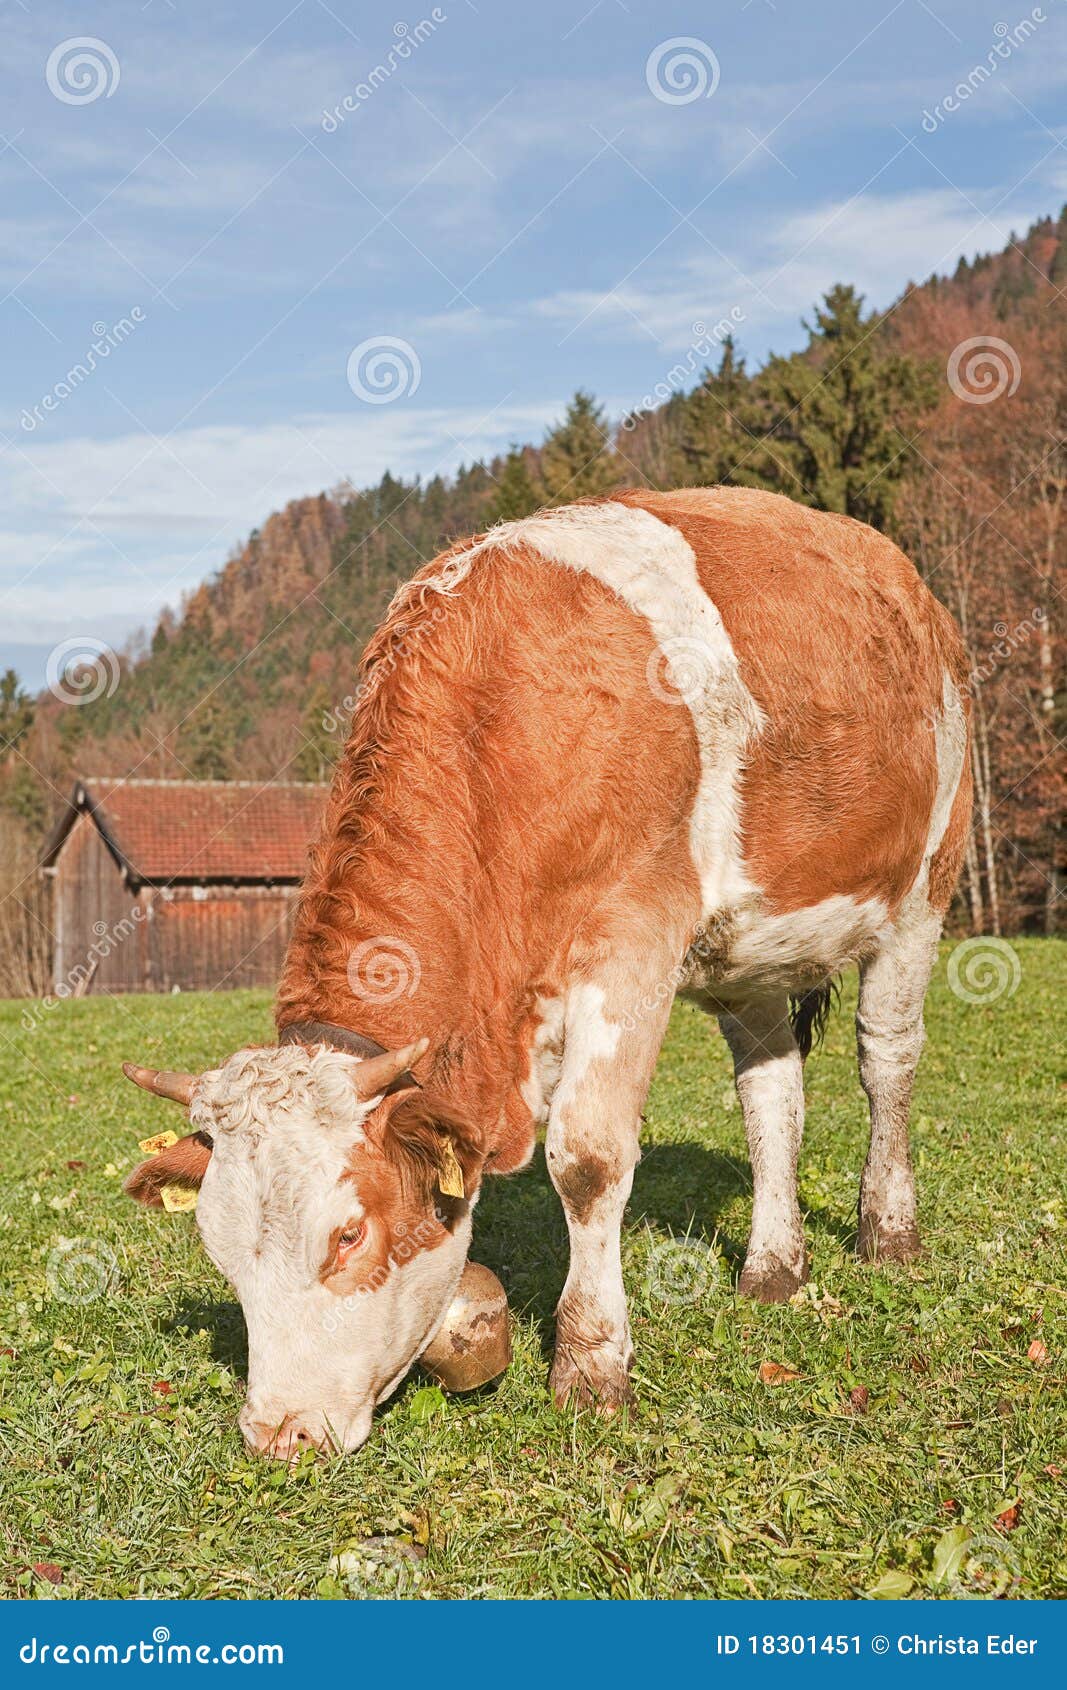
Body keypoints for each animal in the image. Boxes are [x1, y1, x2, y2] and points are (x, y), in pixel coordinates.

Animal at [123, 487, 972, 1459]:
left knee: (886, 1058)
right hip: (748, 953)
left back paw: (888, 1232)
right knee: (771, 1095)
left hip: (923, 883)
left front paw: (592, 1365)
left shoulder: (632, 935)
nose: (278, 1433)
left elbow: (589, 1160)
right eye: (221, 1254)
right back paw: (771, 1264)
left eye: (347, 1235)